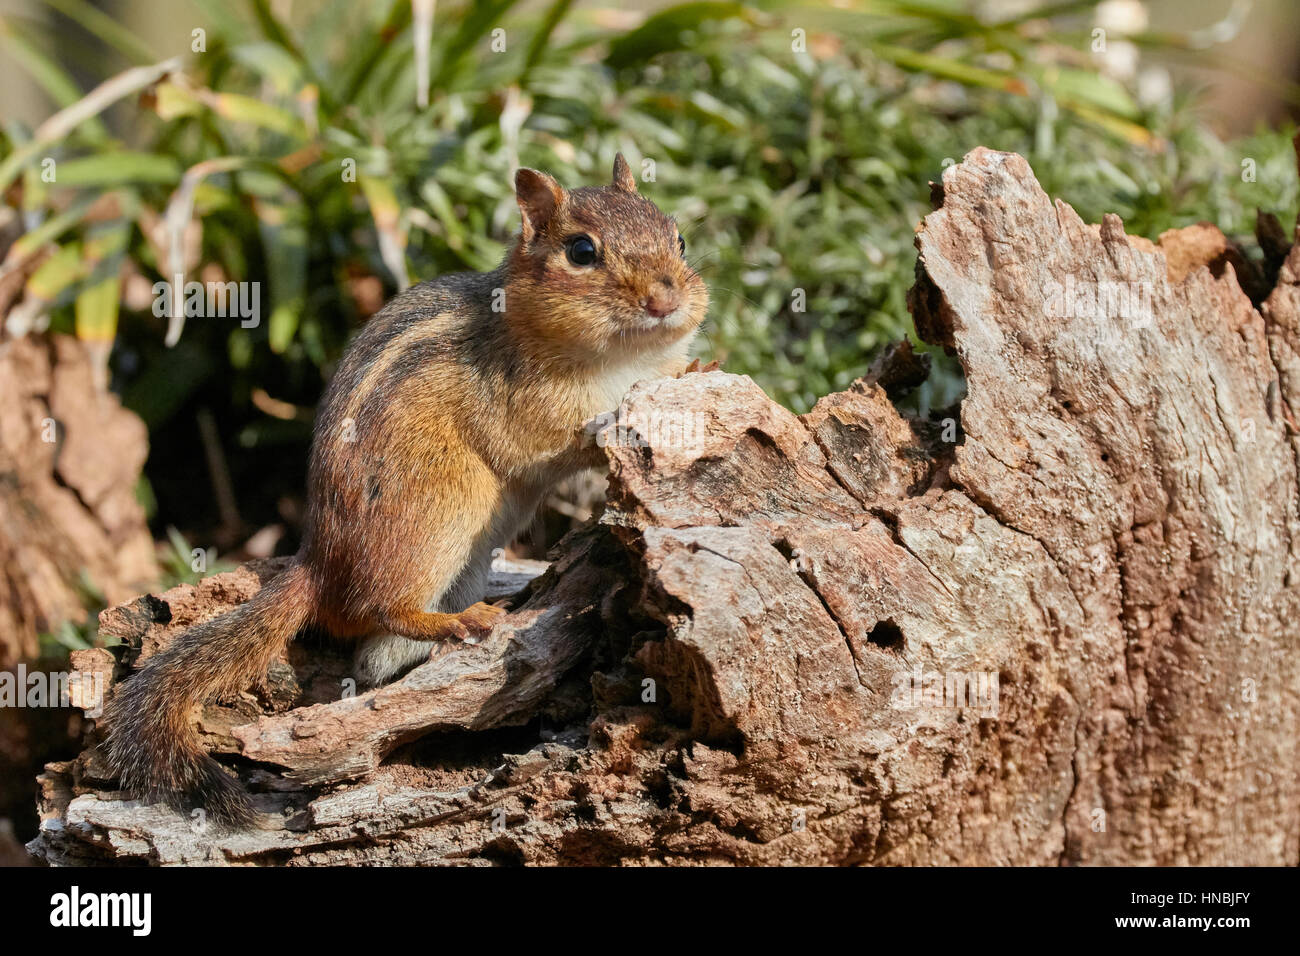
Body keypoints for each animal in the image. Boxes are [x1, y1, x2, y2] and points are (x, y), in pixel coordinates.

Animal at [103, 154, 709, 825]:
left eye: (679, 238)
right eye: (582, 251)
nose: (665, 298)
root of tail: (316, 558)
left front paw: (698, 368)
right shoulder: (525, 404)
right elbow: (557, 441)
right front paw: (608, 425)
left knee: (372, 657)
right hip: (440, 515)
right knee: (379, 606)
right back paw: (458, 622)